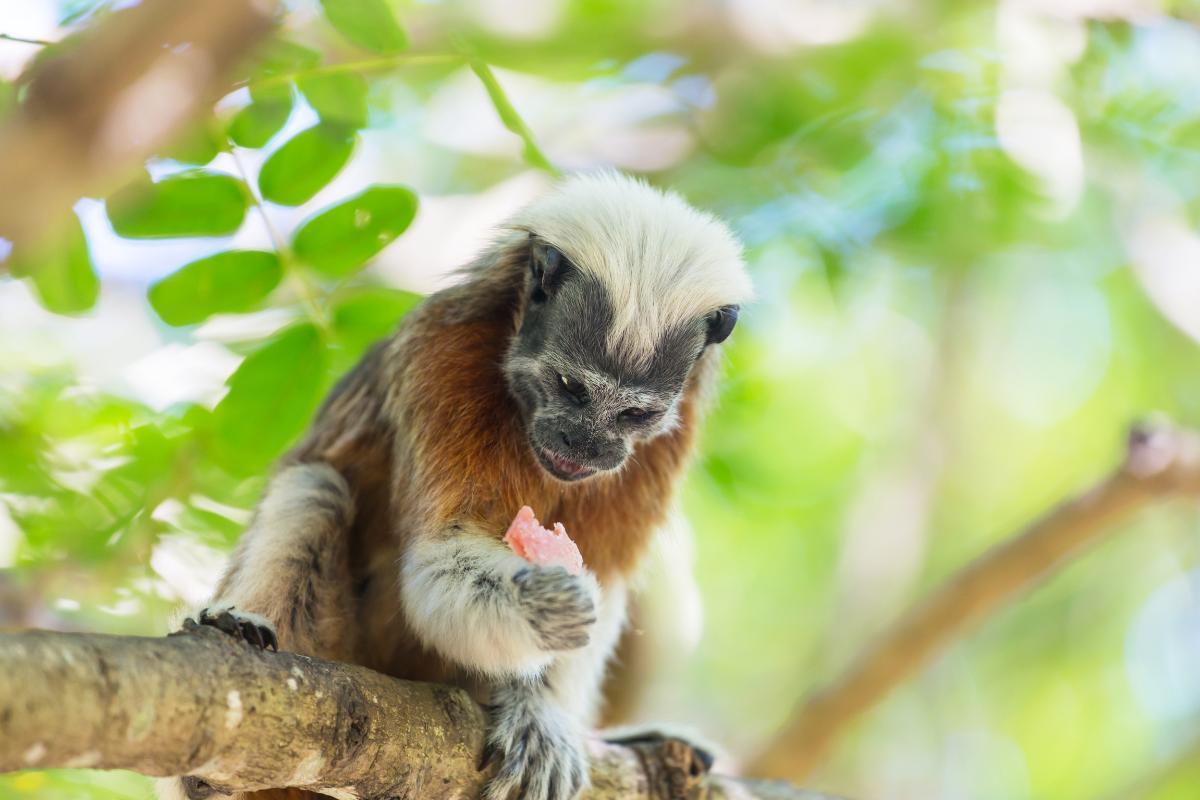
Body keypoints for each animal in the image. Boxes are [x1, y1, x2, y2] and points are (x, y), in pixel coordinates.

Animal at [158, 171, 752, 800]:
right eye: (572, 388)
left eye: (634, 415)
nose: (584, 446)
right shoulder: (446, 358)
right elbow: (438, 558)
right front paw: (543, 602)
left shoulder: (666, 439)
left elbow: (607, 581)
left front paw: (540, 712)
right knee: (315, 485)